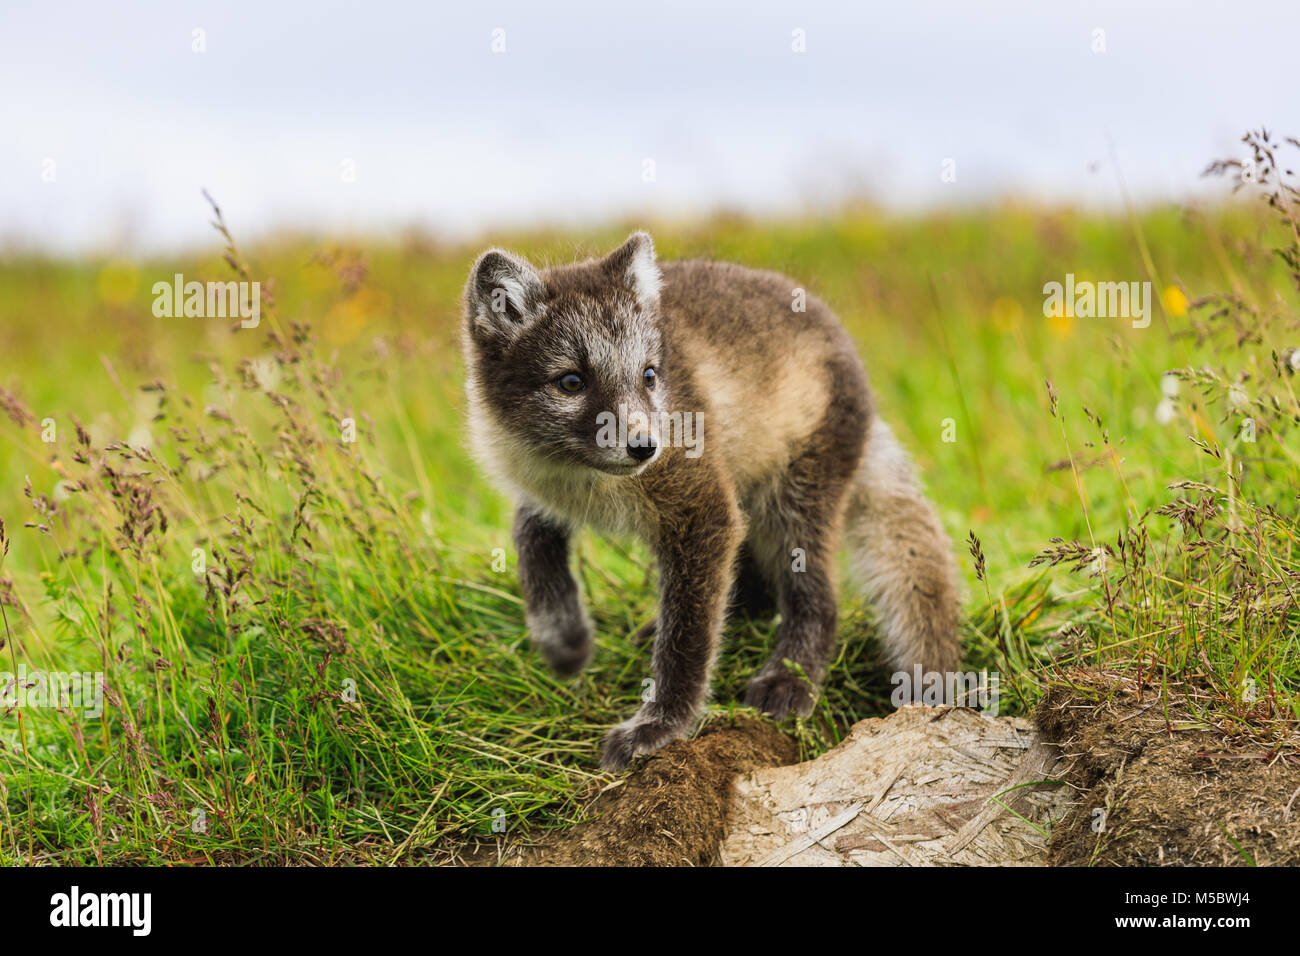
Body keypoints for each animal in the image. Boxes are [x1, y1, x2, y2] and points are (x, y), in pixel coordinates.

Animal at [461, 232, 960, 771]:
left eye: (649, 375)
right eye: (571, 381)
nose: (645, 446)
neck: (579, 478)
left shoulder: (702, 509)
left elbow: (688, 639)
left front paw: (659, 727)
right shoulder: (538, 492)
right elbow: (531, 541)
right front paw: (565, 642)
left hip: (796, 494)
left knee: (818, 601)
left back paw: (788, 680)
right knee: (752, 586)